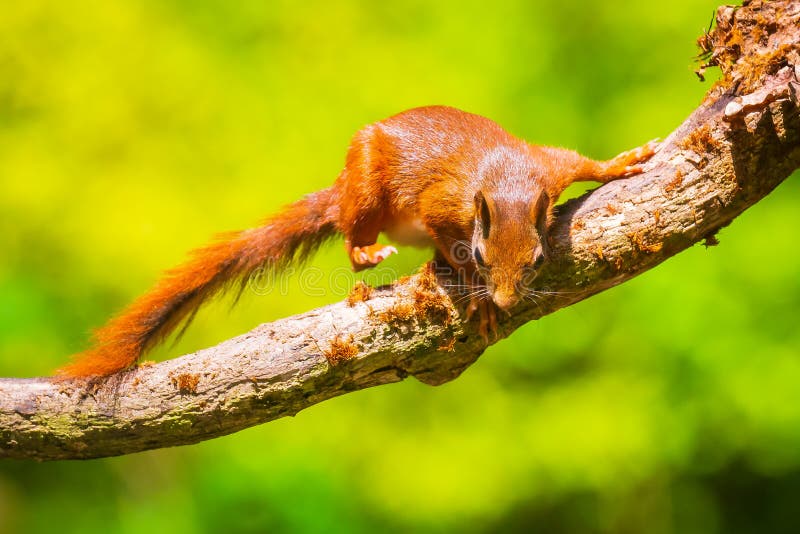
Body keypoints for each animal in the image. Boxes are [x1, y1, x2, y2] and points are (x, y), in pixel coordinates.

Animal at [57, 105, 656, 378]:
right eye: (487, 256)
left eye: (535, 260)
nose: (508, 301)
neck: (503, 180)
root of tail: (342, 189)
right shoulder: (442, 206)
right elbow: (450, 241)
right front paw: (476, 294)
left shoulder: (547, 168)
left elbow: (581, 162)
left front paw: (623, 162)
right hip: (368, 189)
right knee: (352, 238)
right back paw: (370, 251)